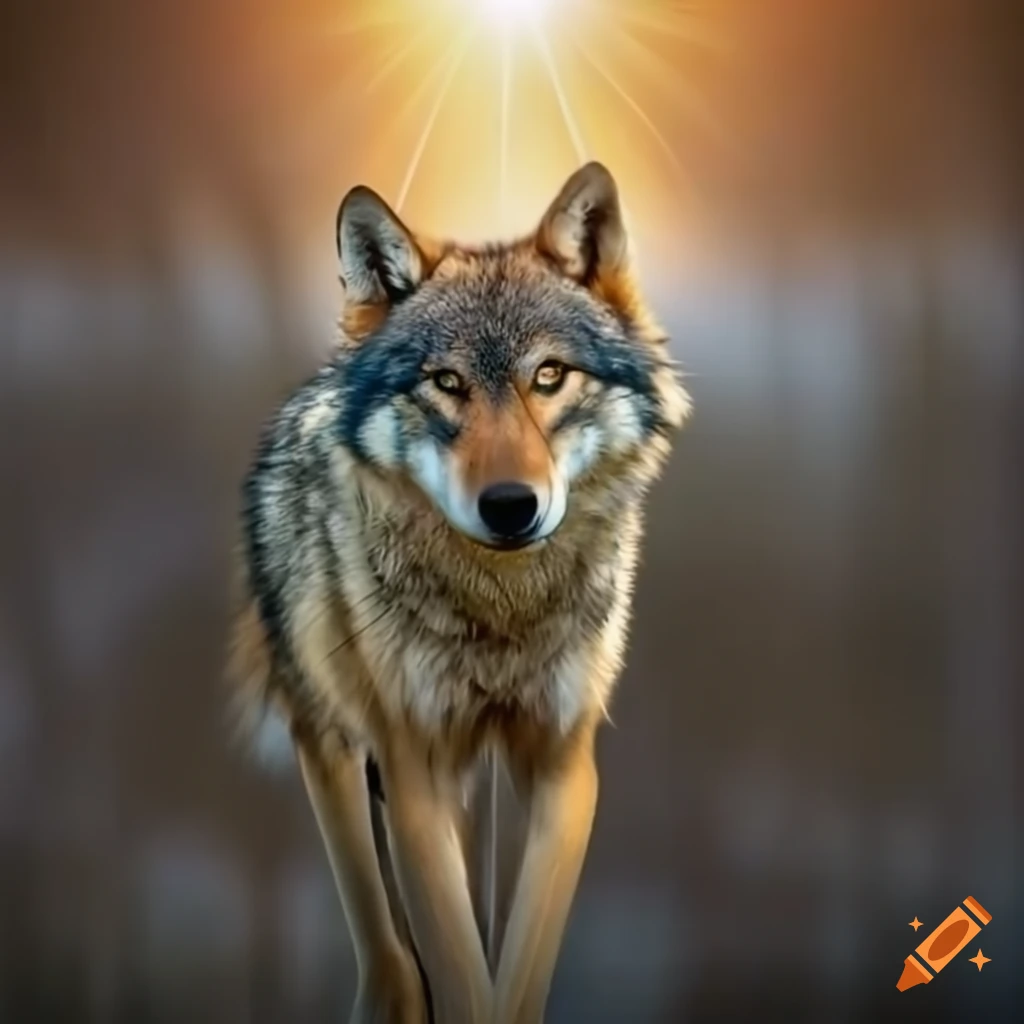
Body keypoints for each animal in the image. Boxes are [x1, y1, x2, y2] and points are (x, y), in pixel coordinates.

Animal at [227, 162, 690, 1024]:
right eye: (446, 383)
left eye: (549, 375)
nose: (510, 506)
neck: (501, 610)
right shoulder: (410, 770)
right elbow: (458, 972)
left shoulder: (563, 765)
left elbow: (516, 969)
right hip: (336, 752)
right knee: (388, 952)